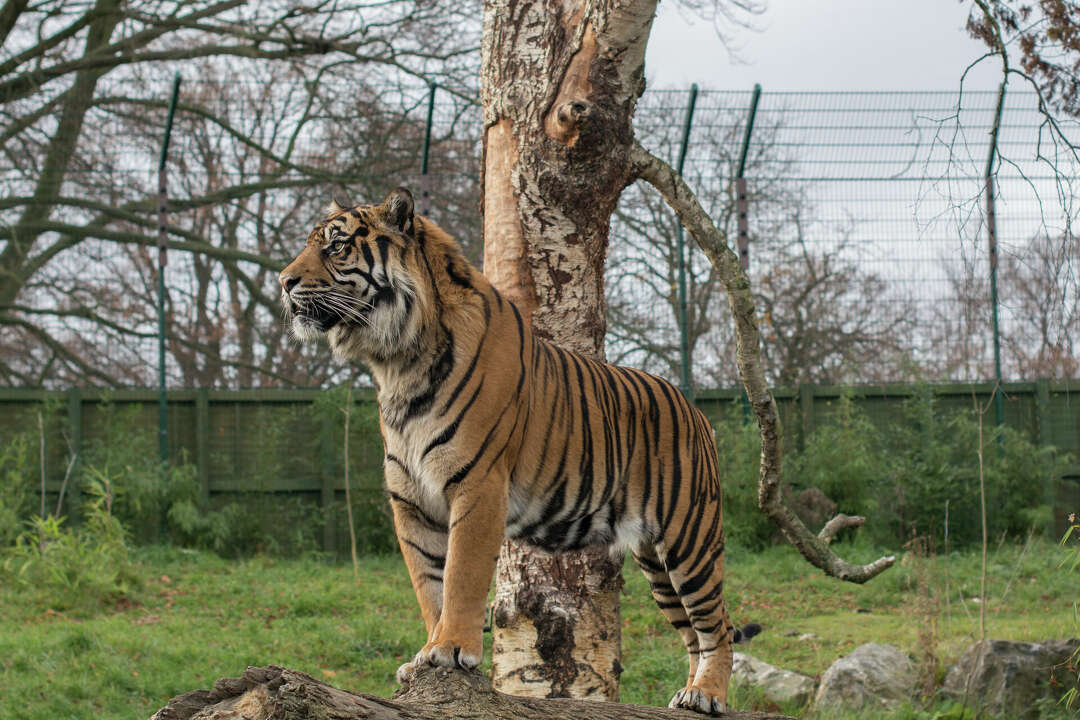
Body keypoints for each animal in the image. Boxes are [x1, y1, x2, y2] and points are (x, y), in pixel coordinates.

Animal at [278, 187, 759, 715]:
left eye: (336, 246)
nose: (283, 282)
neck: (396, 363)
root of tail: (696, 411)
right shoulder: (411, 502)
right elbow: (429, 586)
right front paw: (426, 652)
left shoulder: (477, 485)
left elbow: (461, 576)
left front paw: (451, 649)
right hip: (654, 559)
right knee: (693, 634)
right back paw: (689, 694)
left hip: (688, 539)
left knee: (716, 626)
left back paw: (707, 695)